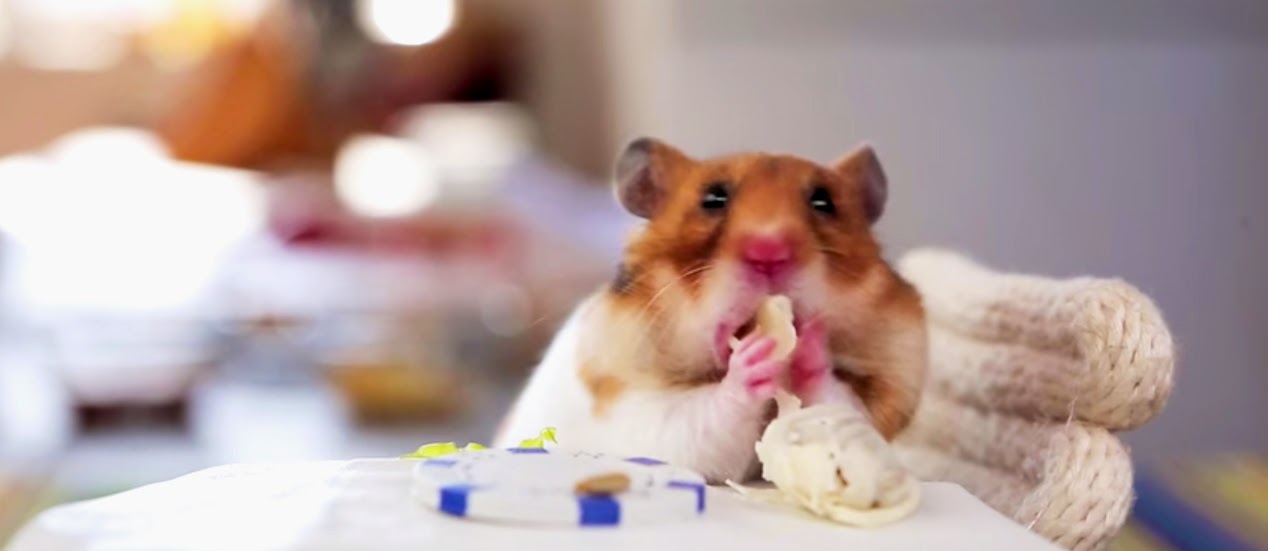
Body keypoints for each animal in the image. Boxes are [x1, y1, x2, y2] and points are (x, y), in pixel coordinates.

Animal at [493, 138, 928, 484]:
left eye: (824, 201)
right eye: (713, 199)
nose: (769, 250)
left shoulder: (870, 414)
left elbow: (837, 406)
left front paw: (810, 346)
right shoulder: (634, 410)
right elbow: (702, 419)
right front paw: (753, 357)